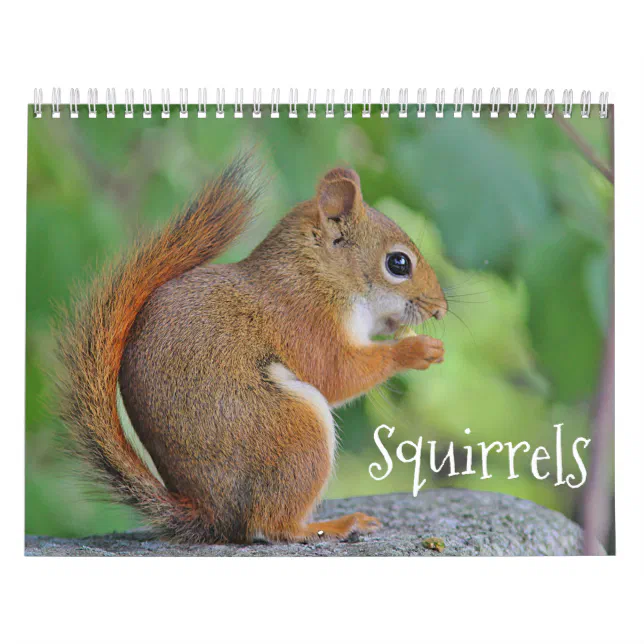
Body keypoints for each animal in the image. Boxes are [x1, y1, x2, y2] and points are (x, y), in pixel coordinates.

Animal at [57, 156, 447, 544]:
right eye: (398, 263)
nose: (440, 310)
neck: (316, 274)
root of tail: (212, 513)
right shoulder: (305, 322)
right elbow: (335, 373)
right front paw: (416, 349)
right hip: (294, 429)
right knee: (272, 524)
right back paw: (333, 525)